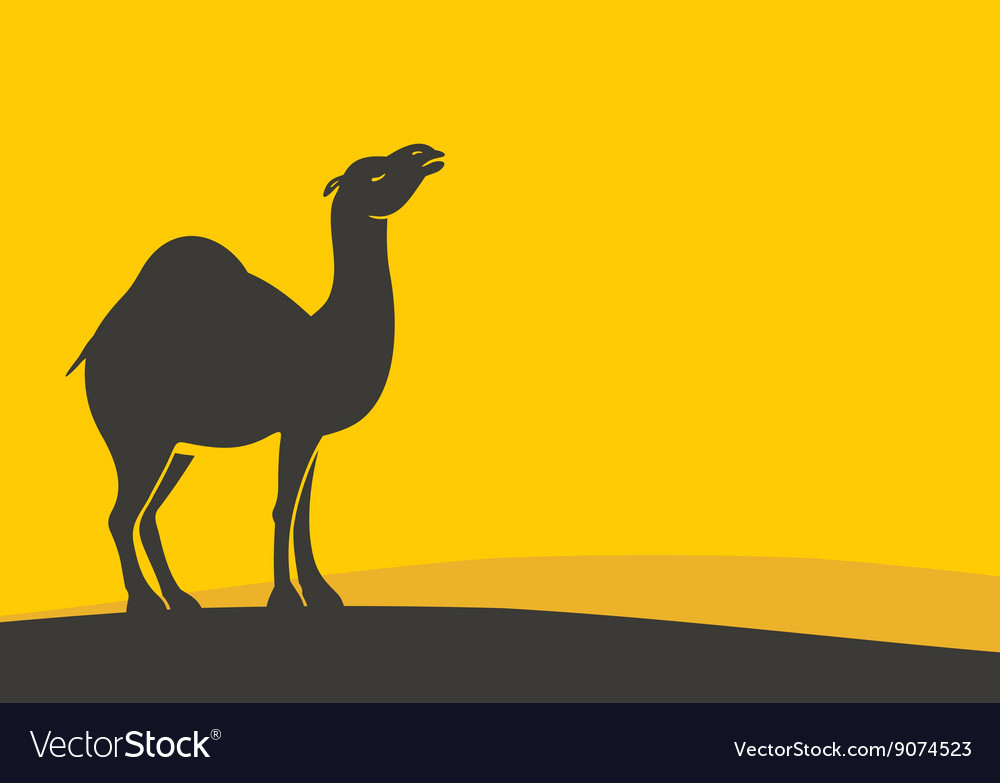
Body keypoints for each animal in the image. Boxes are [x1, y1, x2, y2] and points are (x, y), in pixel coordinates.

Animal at [66, 143, 445, 612]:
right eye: (376, 173)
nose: (426, 153)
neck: (331, 339)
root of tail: (93, 348)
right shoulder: (298, 425)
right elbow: (283, 508)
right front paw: (284, 598)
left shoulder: (314, 433)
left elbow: (301, 511)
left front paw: (321, 594)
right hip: (138, 438)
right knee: (121, 515)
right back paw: (145, 602)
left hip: (179, 449)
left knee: (147, 513)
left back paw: (180, 598)